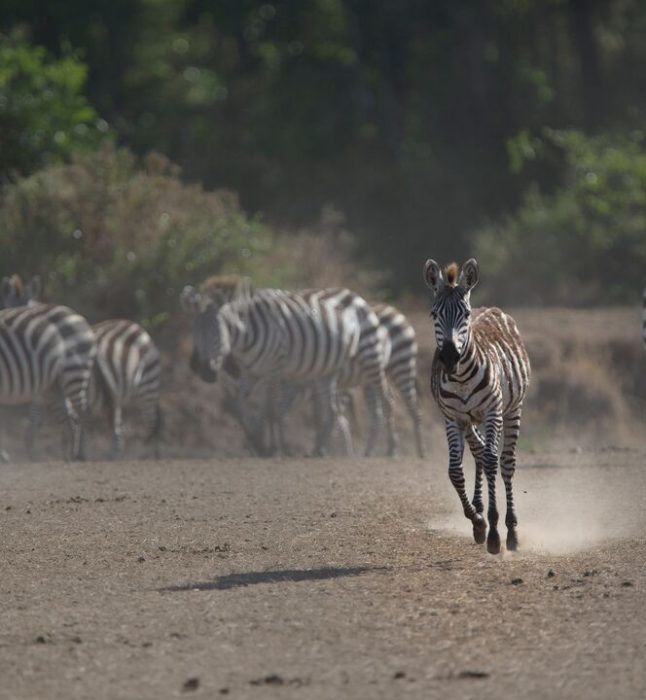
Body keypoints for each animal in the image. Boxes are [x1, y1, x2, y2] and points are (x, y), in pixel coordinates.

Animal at [0, 302, 97, 460]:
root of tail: (75, 314)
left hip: (74, 371)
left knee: (83, 412)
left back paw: (80, 454)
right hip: (54, 386)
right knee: (69, 418)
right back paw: (67, 455)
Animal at [197, 276, 423, 457]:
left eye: (217, 333)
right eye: (195, 330)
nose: (204, 371)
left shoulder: (278, 372)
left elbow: (272, 409)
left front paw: (274, 447)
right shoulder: (264, 374)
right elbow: (246, 406)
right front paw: (260, 442)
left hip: (392, 363)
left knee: (400, 404)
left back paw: (404, 450)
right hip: (362, 376)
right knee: (373, 411)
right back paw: (365, 452)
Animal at [424, 258, 531, 554]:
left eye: (466, 314)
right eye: (434, 314)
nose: (450, 357)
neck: (460, 377)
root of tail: (494, 308)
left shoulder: (493, 411)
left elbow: (493, 461)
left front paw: (494, 533)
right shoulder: (452, 417)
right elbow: (455, 471)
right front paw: (478, 521)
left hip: (511, 410)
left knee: (505, 462)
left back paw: (511, 531)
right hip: (471, 420)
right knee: (480, 452)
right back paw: (481, 511)